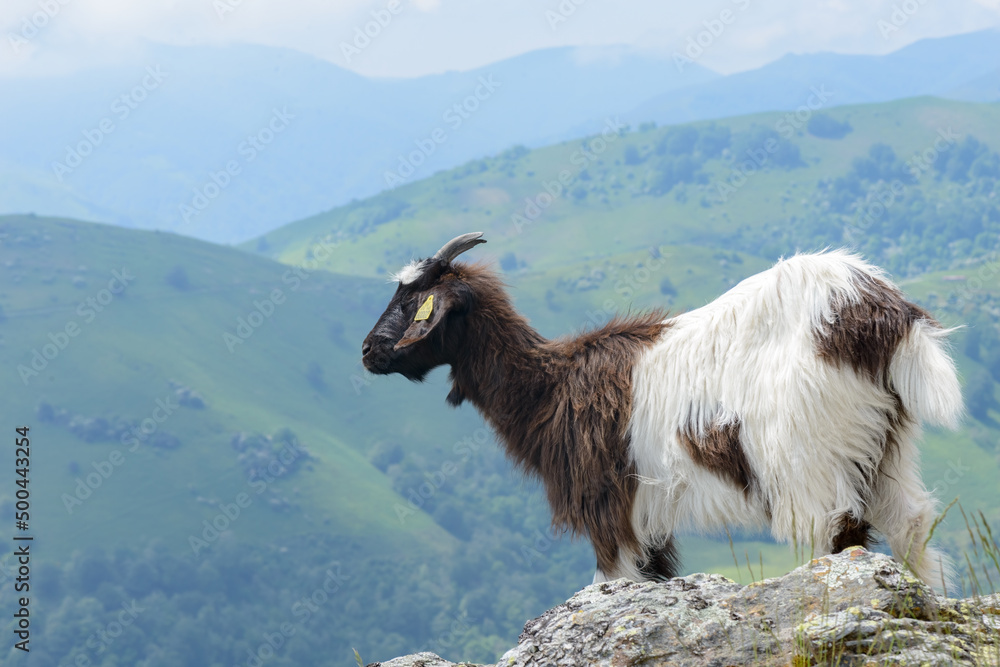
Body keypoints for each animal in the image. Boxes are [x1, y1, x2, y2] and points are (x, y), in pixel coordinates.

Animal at [362, 233, 963, 589]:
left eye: (412, 304)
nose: (369, 351)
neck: (552, 388)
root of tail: (880, 310)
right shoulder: (647, 518)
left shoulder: (609, 508)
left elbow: (616, 580)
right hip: (885, 445)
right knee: (912, 525)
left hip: (808, 453)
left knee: (837, 533)